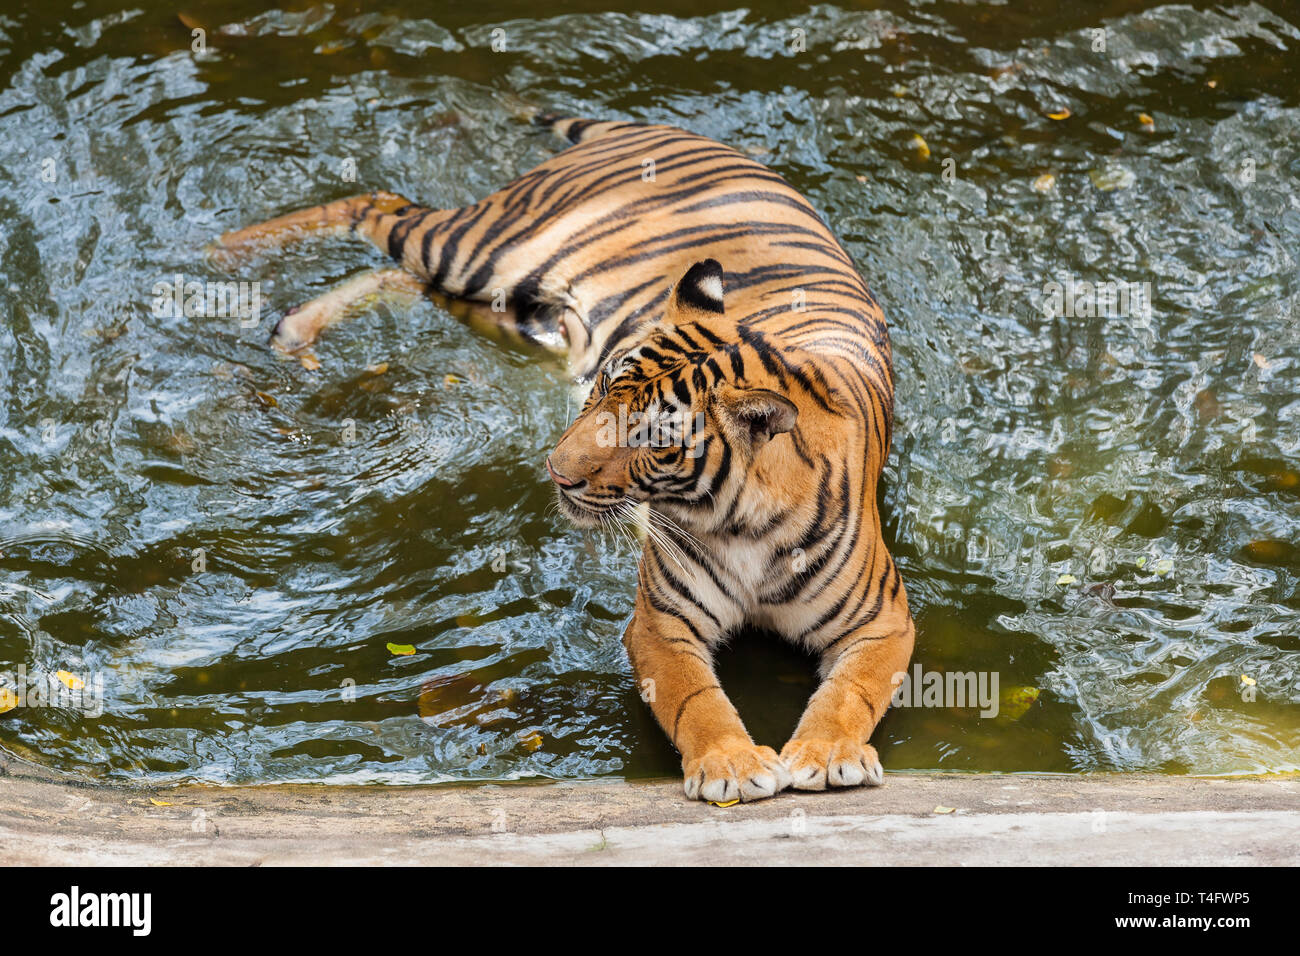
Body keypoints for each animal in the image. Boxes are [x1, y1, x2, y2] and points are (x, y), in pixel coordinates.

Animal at [210, 111, 915, 803]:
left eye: (652, 440)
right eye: (602, 386)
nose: (555, 470)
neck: (740, 520)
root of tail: (659, 128)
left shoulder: (882, 622)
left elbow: (852, 692)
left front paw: (827, 755)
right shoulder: (661, 622)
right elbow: (695, 699)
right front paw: (731, 765)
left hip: (516, 313)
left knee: (399, 268)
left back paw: (291, 327)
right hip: (485, 250)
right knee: (380, 204)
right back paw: (225, 251)